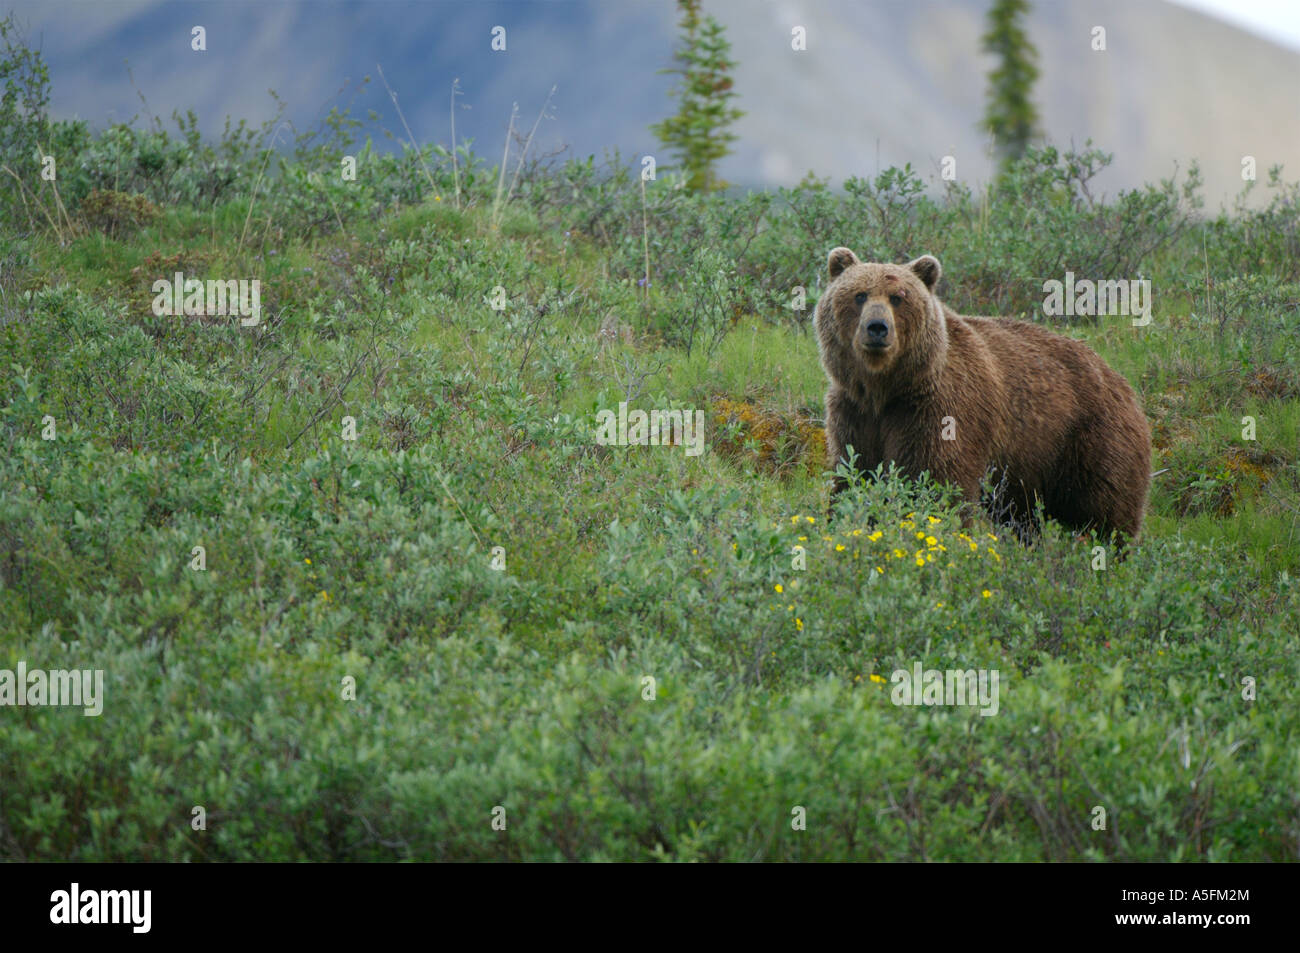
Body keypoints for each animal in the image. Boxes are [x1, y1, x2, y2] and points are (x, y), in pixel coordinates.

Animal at [815, 247, 1151, 544]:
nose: (877, 328)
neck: (887, 388)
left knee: (1106, 509)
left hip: (1091, 438)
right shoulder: (854, 413)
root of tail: (1120, 380)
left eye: (898, 297)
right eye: (859, 295)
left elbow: (937, 484)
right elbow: (854, 475)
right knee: (1024, 518)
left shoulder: (938, 412)